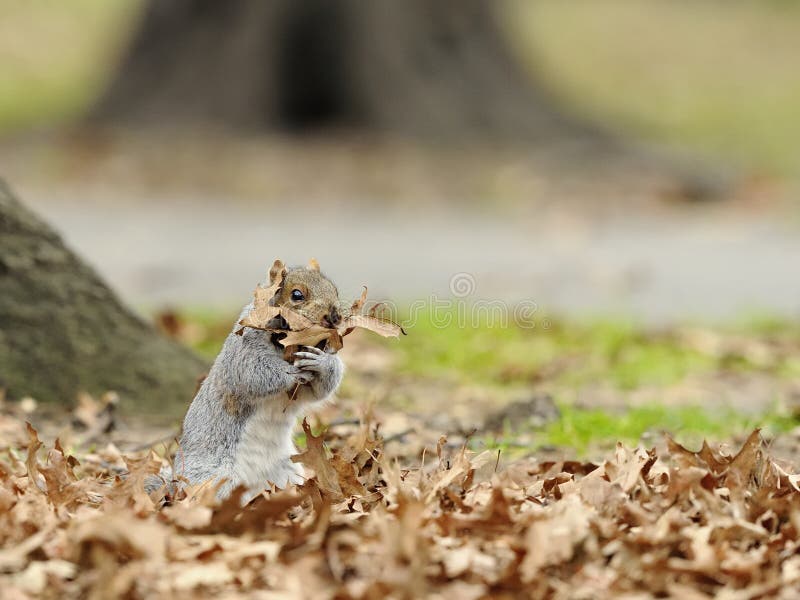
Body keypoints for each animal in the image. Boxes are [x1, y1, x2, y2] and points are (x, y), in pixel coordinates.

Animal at [146, 260, 344, 502]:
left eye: (335, 290)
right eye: (297, 295)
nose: (334, 316)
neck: (284, 342)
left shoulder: (301, 390)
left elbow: (320, 390)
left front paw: (322, 362)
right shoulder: (244, 348)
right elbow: (252, 373)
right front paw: (290, 372)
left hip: (288, 473)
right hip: (216, 478)